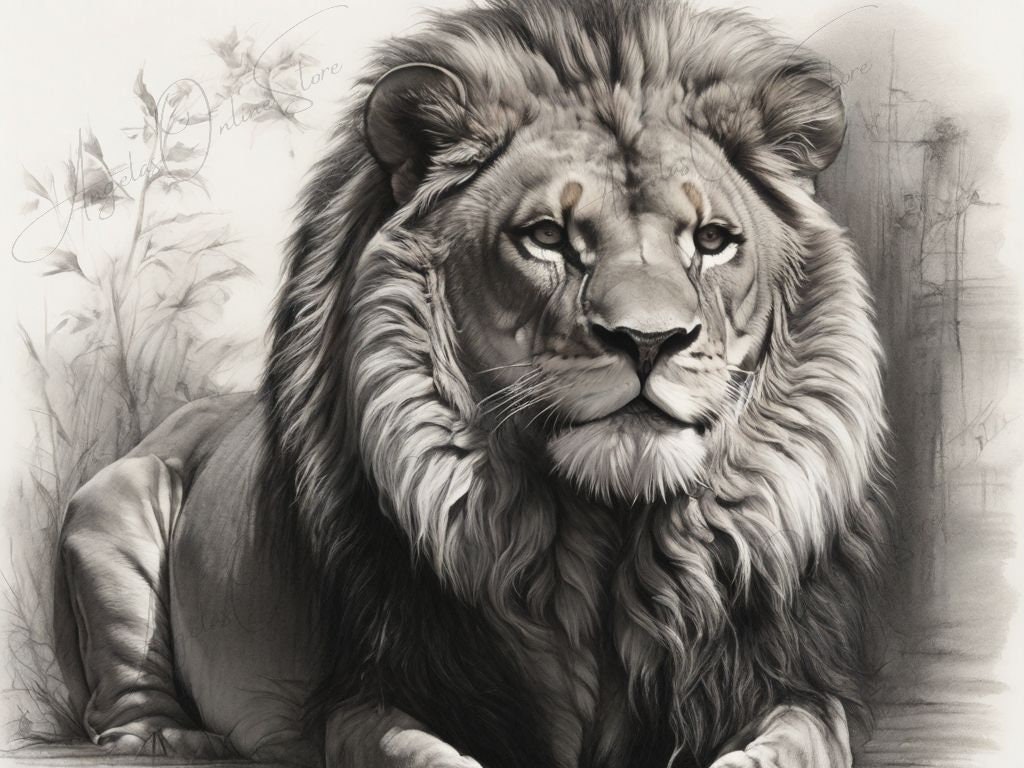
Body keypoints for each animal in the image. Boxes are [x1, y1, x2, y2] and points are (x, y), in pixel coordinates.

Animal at [52, 0, 889, 766]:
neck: (604, 537)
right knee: (117, 708)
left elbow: (791, 744)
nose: (649, 340)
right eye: (548, 237)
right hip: (114, 511)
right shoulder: (369, 694)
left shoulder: (787, 685)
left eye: (712, 241)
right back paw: (176, 740)